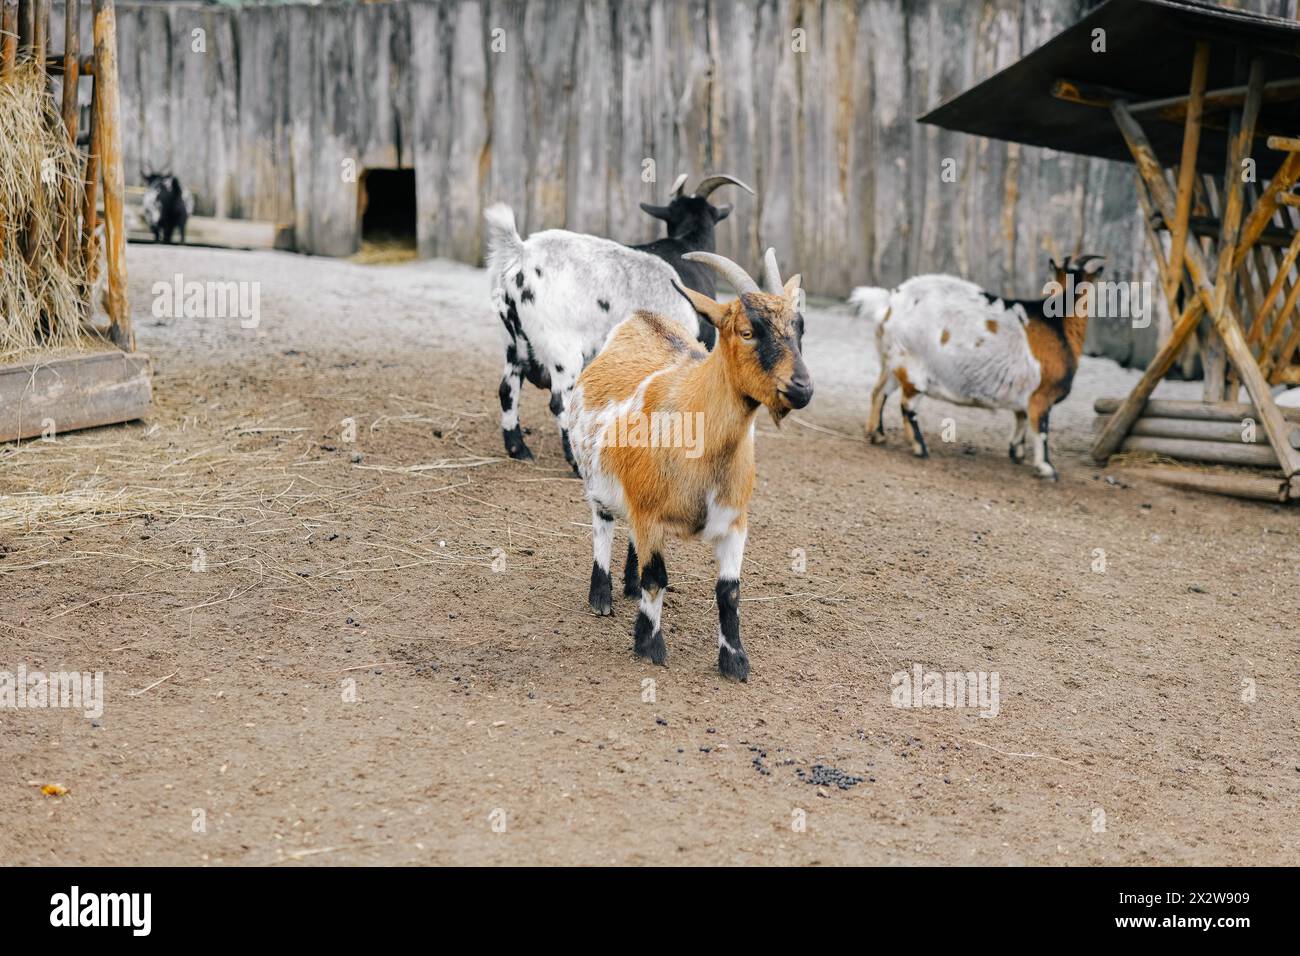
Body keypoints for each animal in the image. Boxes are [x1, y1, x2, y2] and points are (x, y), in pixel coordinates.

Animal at [484, 173, 751, 466]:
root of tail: (520, 253)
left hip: (514, 344)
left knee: (507, 390)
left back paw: (519, 450)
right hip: (562, 349)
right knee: (560, 402)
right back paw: (575, 462)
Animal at [567, 249, 811, 681]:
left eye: (800, 329)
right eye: (747, 332)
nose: (802, 387)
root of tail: (644, 316)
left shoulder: (734, 521)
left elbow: (729, 591)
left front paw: (735, 660)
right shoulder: (649, 514)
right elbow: (656, 578)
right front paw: (649, 646)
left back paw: (626, 586)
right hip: (597, 481)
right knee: (603, 525)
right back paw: (601, 596)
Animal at [851, 255, 1104, 480]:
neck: (1058, 322)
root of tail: (890, 302)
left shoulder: (1025, 393)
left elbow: (1021, 419)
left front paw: (1017, 452)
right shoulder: (1041, 396)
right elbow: (1040, 430)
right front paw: (1047, 469)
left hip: (892, 361)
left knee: (878, 392)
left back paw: (877, 435)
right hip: (912, 366)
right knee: (907, 406)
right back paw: (919, 448)